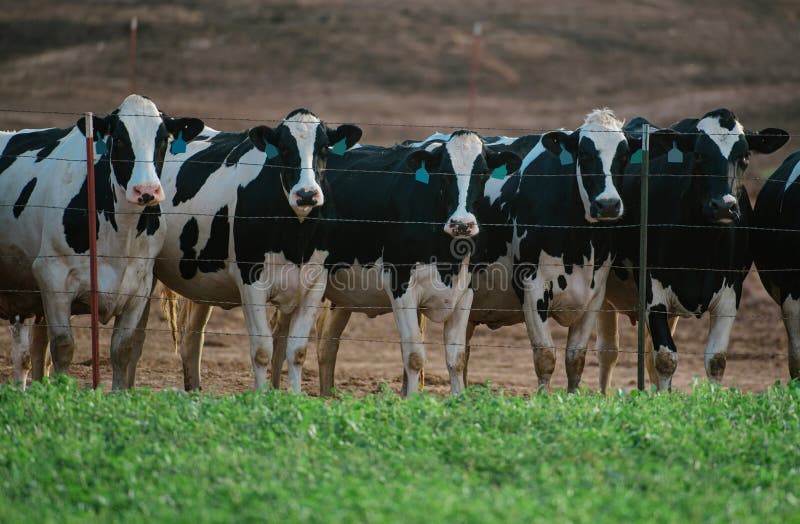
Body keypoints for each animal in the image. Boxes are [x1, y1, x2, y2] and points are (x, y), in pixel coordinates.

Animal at [0, 94, 204, 389]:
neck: (120, 236)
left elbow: (122, 350)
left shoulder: (139, 288)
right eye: (118, 139)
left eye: (163, 140)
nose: (146, 191)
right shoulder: (52, 278)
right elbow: (63, 347)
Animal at [149, 109, 362, 392]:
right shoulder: (250, 282)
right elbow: (262, 350)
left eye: (325, 148)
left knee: (191, 341)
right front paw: (260, 397)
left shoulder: (315, 285)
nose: (306, 194)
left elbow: (297, 351)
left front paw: (296, 396)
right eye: (283, 148)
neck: (296, 239)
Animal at [286, 130, 521, 397]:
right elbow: (414, 356)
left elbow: (457, 358)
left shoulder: (464, 293)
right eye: (444, 173)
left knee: (327, 337)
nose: (462, 224)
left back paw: (327, 395)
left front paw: (458, 399)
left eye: (482, 173)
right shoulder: (401, 286)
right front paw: (411, 400)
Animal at [598, 109, 789, 392]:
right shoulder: (653, 293)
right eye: (699, 154)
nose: (724, 206)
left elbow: (716, 360)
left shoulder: (731, 294)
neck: (702, 244)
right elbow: (666, 358)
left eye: (744, 156)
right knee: (608, 351)